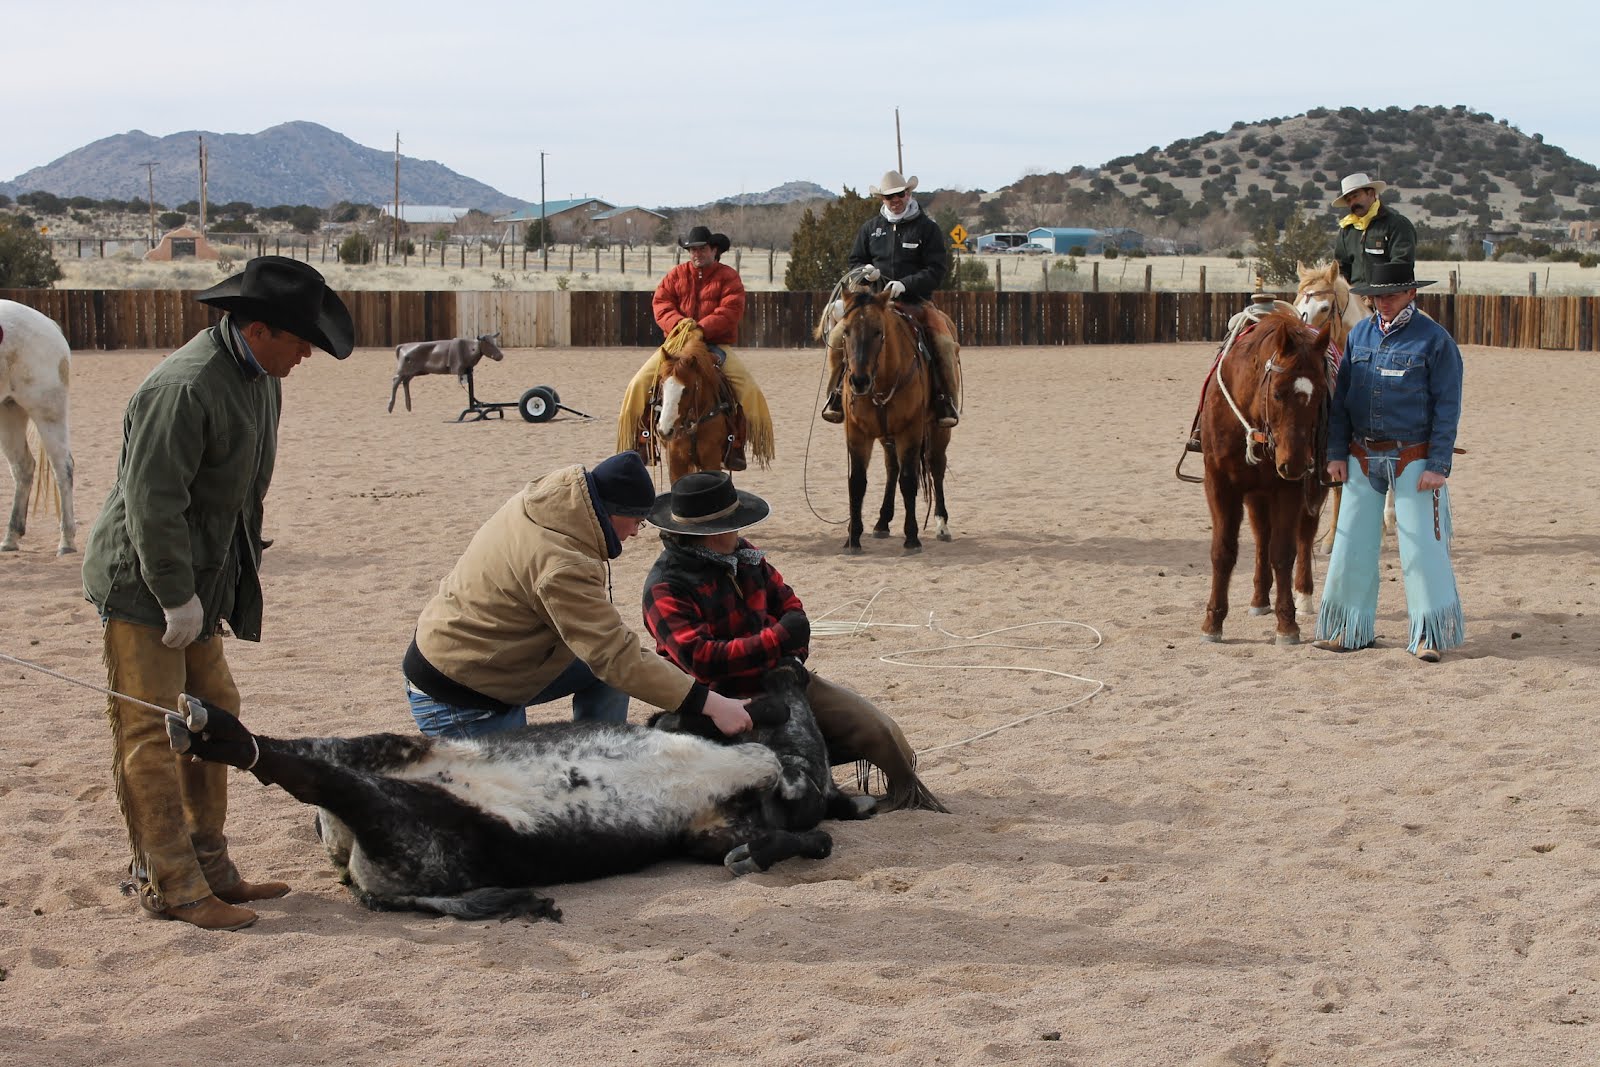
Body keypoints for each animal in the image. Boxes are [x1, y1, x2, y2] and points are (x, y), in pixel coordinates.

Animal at [0, 300, 75, 555]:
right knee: (22, 467)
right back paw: (11, 536)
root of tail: (49, 324)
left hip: (47, 411)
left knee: (63, 467)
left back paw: (66, 541)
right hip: (8, 411)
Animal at [829, 290, 952, 554]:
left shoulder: (910, 430)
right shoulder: (857, 433)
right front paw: (853, 537)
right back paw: (882, 522)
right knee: (891, 468)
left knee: (935, 466)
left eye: (878, 331)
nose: (859, 381)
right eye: (846, 331)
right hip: (887, 437)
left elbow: (909, 481)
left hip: (937, 430)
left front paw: (912, 538)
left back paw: (942, 524)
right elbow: (857, 482)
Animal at [1200, 308, 1333, 645]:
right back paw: (1260, 599)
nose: (1295, 463)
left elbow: (1284, 552)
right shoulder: (1219, 483)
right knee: (1261, 536)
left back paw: (1303, 596)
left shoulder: (1289, 489)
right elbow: (1223, 551)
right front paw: (1213, 622)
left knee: (1304, 534)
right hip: (1256, 493)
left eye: (1321, 394)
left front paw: (1287, 624)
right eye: (1278, 393)